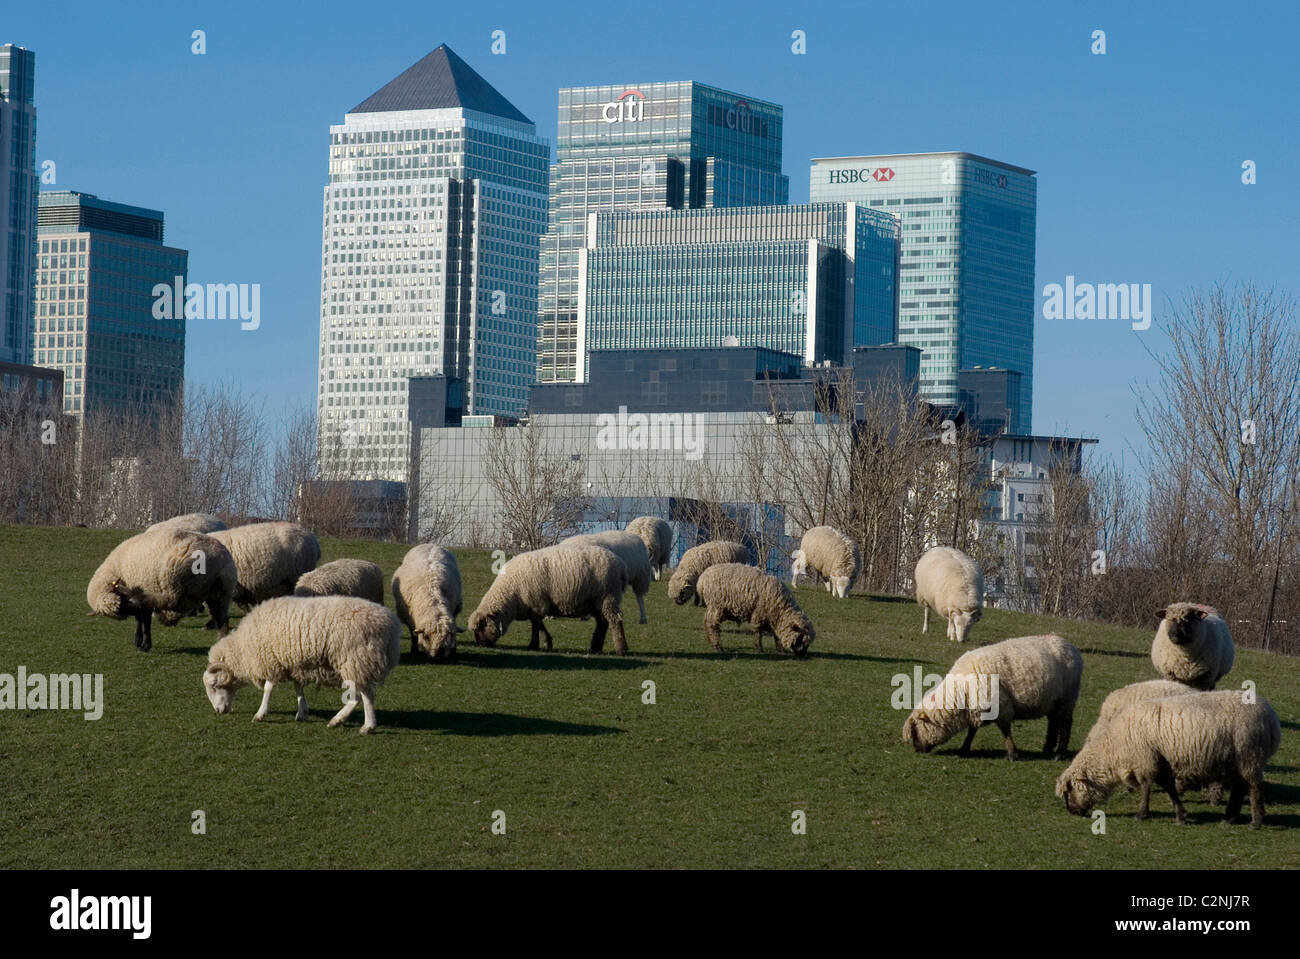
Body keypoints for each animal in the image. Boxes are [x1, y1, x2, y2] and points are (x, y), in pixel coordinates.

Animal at [87, 527, 237, 652]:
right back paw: (221, 641)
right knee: (222, 620)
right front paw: (138, 640)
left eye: (122, 605)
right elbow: (139, 619)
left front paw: (145, 644)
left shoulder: (144, 590)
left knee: (166, 601)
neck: (117, 570)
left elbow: (145, 621)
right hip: (220, 594)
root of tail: (219, 560)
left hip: (175, 580)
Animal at [203, 595, 401, 734]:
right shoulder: (293, 664)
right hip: (360, 663)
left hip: (355, 660)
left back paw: (360, 724)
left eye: (214, 685)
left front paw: (260, 713)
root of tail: (392, 627)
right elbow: (298, 687)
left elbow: (268, 688)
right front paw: (302, 711)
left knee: (362, 696)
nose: (218, 711)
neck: (243, 649)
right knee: (364, 694)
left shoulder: (273, 662)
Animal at [468, 544, 629, 655]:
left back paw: (621, 649)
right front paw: (543, 643)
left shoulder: (537, 603)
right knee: (602, 623)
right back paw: (595, 647)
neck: (511, 593)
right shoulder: (533, 606)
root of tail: (620, 563)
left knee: (615, 621)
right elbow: (537, 624)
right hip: (596, 601)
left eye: (481, 626)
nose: (481, 645)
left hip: (608, 596)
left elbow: (536, 625)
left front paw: (537, 644)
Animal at [902, 633, 1082, 761]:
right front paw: (964, 749)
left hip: (1067, 699)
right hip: (1054, 701)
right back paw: (1047, 749)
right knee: (1053, 723)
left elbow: (1005, 731)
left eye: (915, 731)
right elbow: (972, 731)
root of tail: (1071, 646)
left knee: (1065, 725)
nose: (917, 750)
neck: (961, 690)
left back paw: (1059, 754)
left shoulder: (1001, 706)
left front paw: (1011, 754)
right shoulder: (976, 709)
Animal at [1055, 690, 1282, 828]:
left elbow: (1147, 787)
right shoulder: (1159, 761)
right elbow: (1169, 787)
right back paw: (1229, 818)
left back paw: (1256, 821)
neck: (1115, 749)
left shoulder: (1145, 760)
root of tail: (1271, 718)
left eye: (1069, 790)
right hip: (1240, 761)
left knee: (1254, 788)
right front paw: (1181, 815)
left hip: (1249, 755)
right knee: (1240, 788)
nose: (1072, 812)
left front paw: (1141, 814)